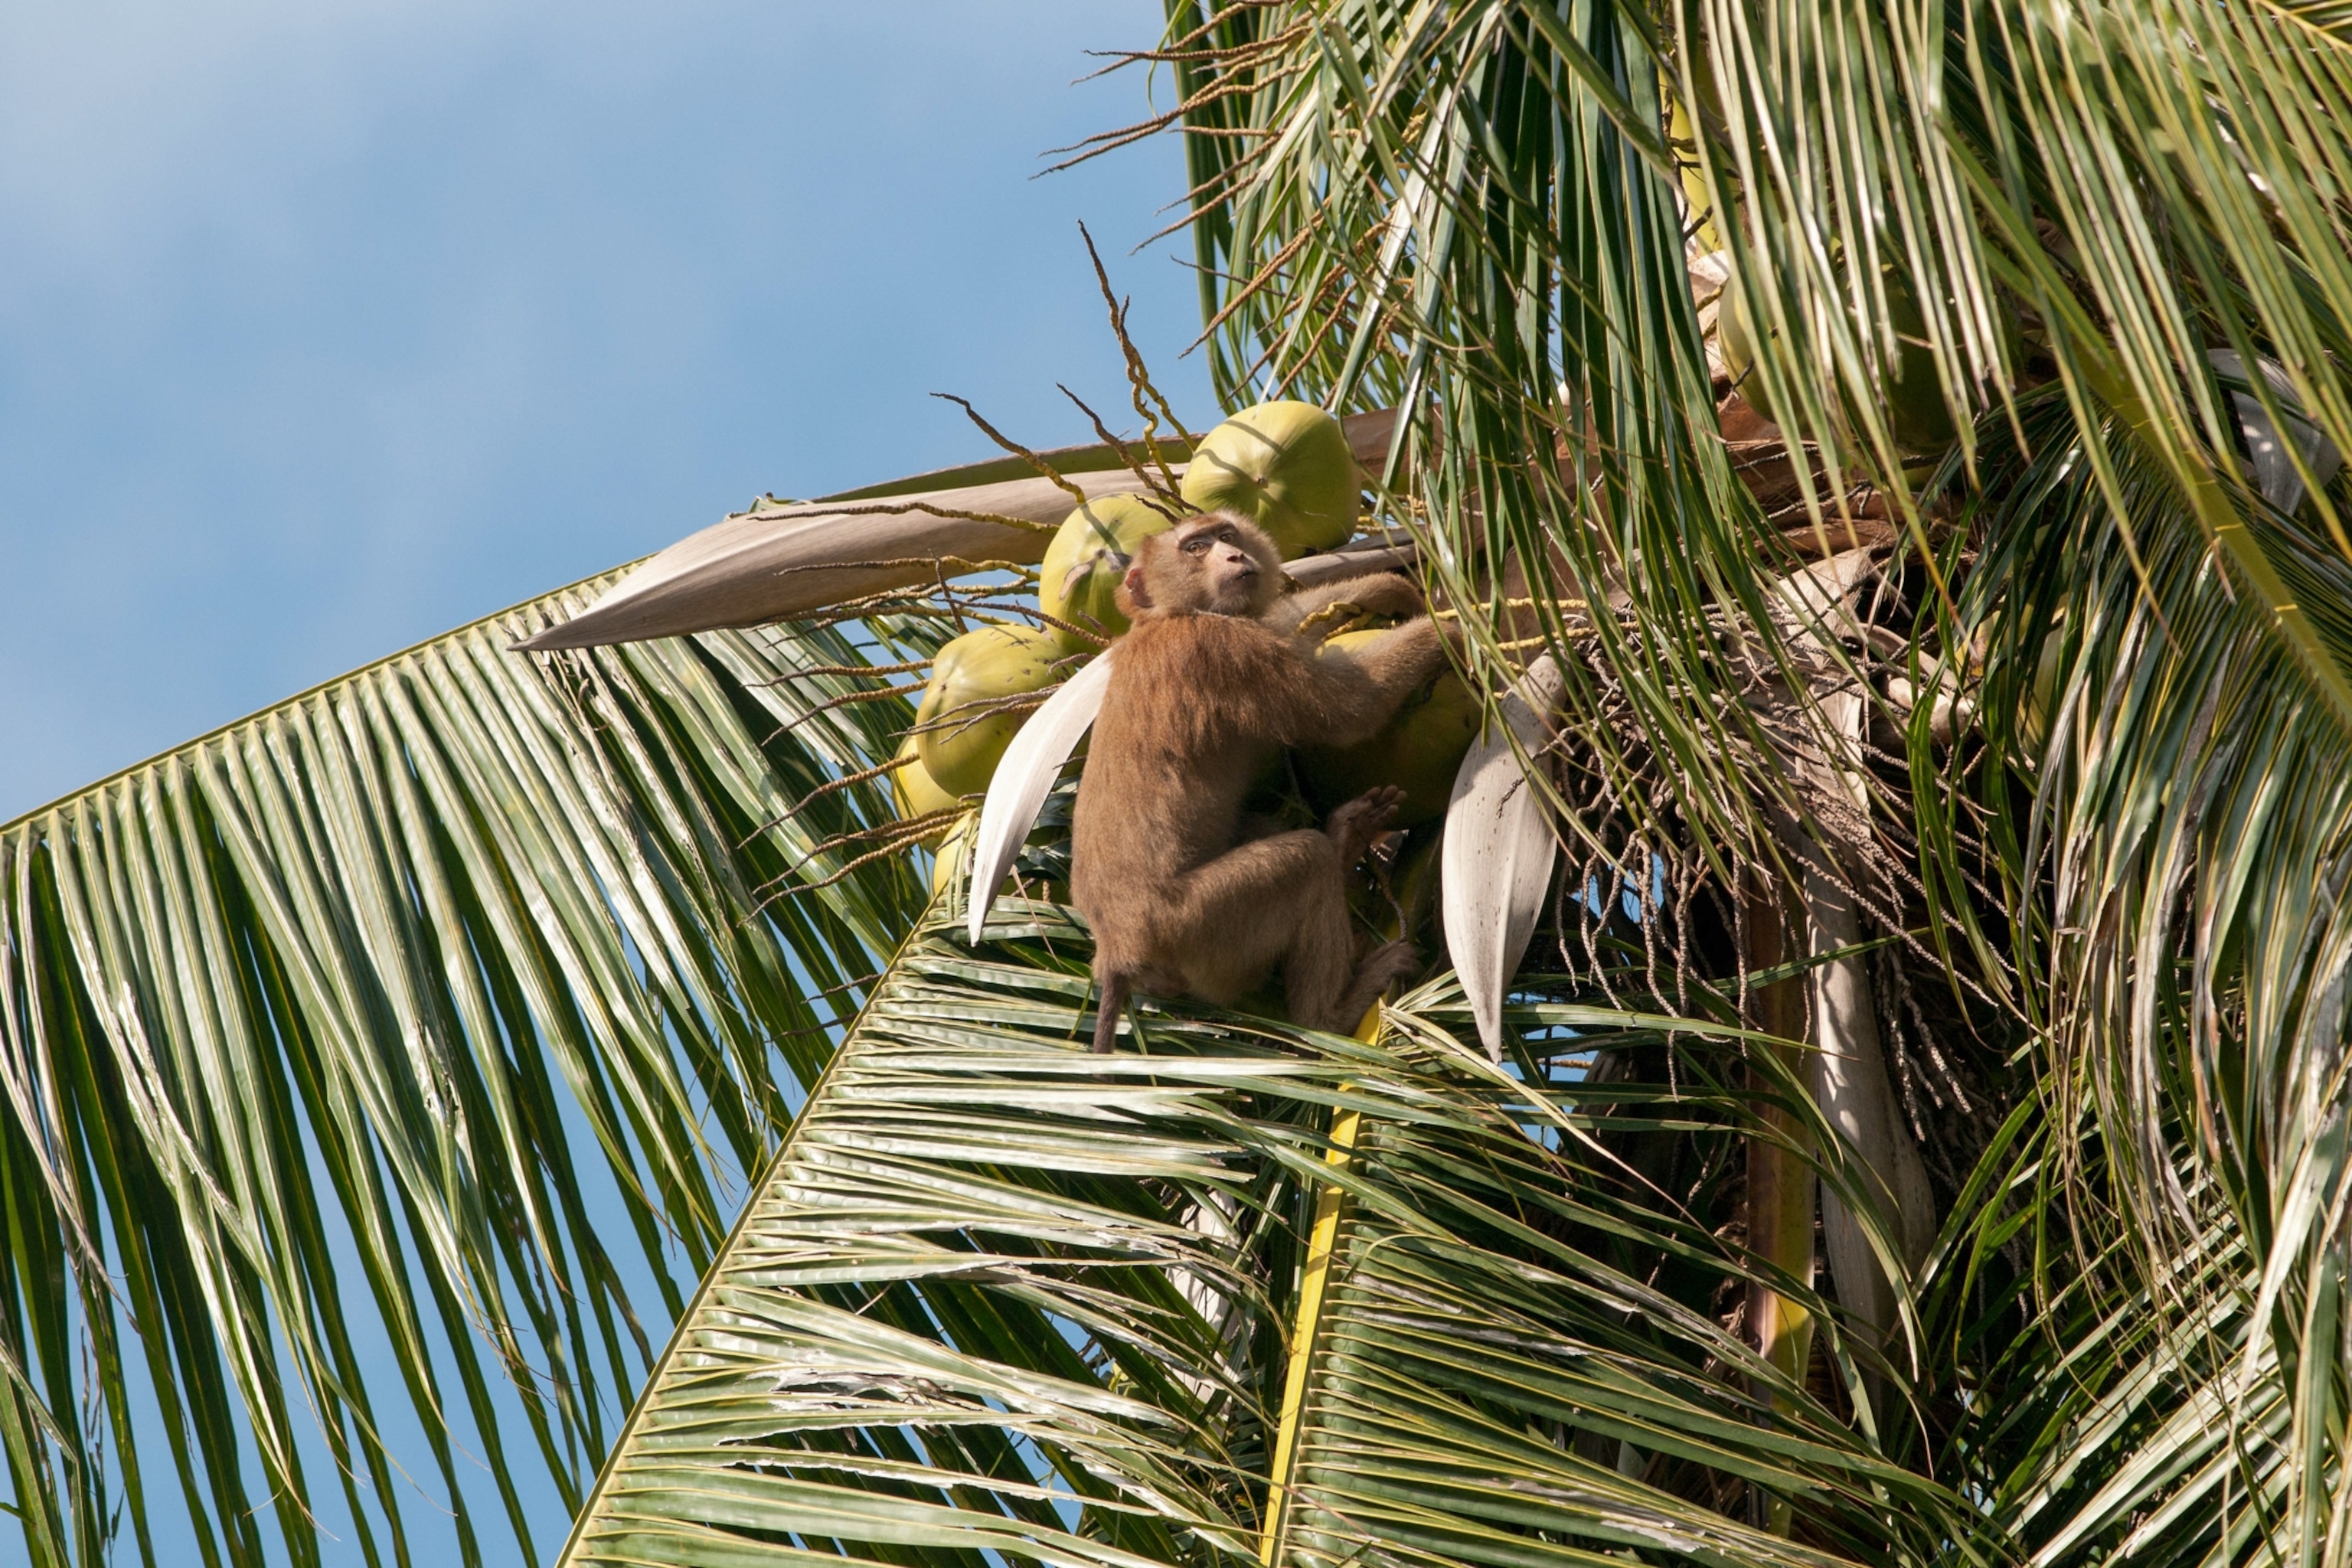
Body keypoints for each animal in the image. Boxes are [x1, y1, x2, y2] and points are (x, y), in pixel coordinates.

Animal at [1070, 511, 1453, 1052]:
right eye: (1196, 548)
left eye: (1226, 535)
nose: (1235, 555)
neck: (1164, 617)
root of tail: (1117, 951)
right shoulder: (1225, 650)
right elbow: (1347, 707)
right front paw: (1456, 635)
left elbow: (1283, 623)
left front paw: (1384, 589)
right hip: (1195, 927)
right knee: (1304, 862)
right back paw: (1330, 1014)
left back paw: (1344, 840)